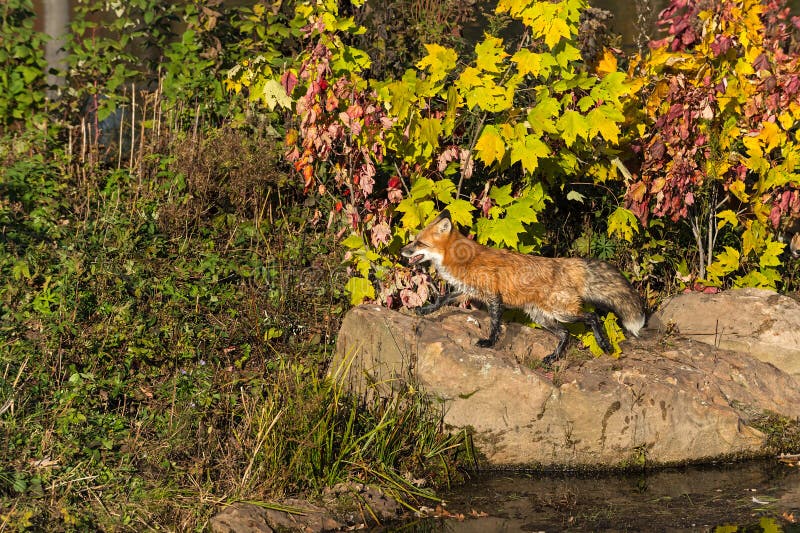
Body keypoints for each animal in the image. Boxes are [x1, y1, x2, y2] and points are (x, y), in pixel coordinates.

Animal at [400, 210, 646, 366]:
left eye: (419, 243)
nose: (402, 251)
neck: (464, 260)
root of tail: (565, 263)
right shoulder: (467, 290)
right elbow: (441, 300)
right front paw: (425, 310)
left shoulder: (493, 296)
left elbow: (494, 324)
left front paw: (489, 343)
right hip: (542, 317)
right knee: (566, 334)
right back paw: (553, 357)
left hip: (562, 312)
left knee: (592, 317)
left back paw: (603, 344)